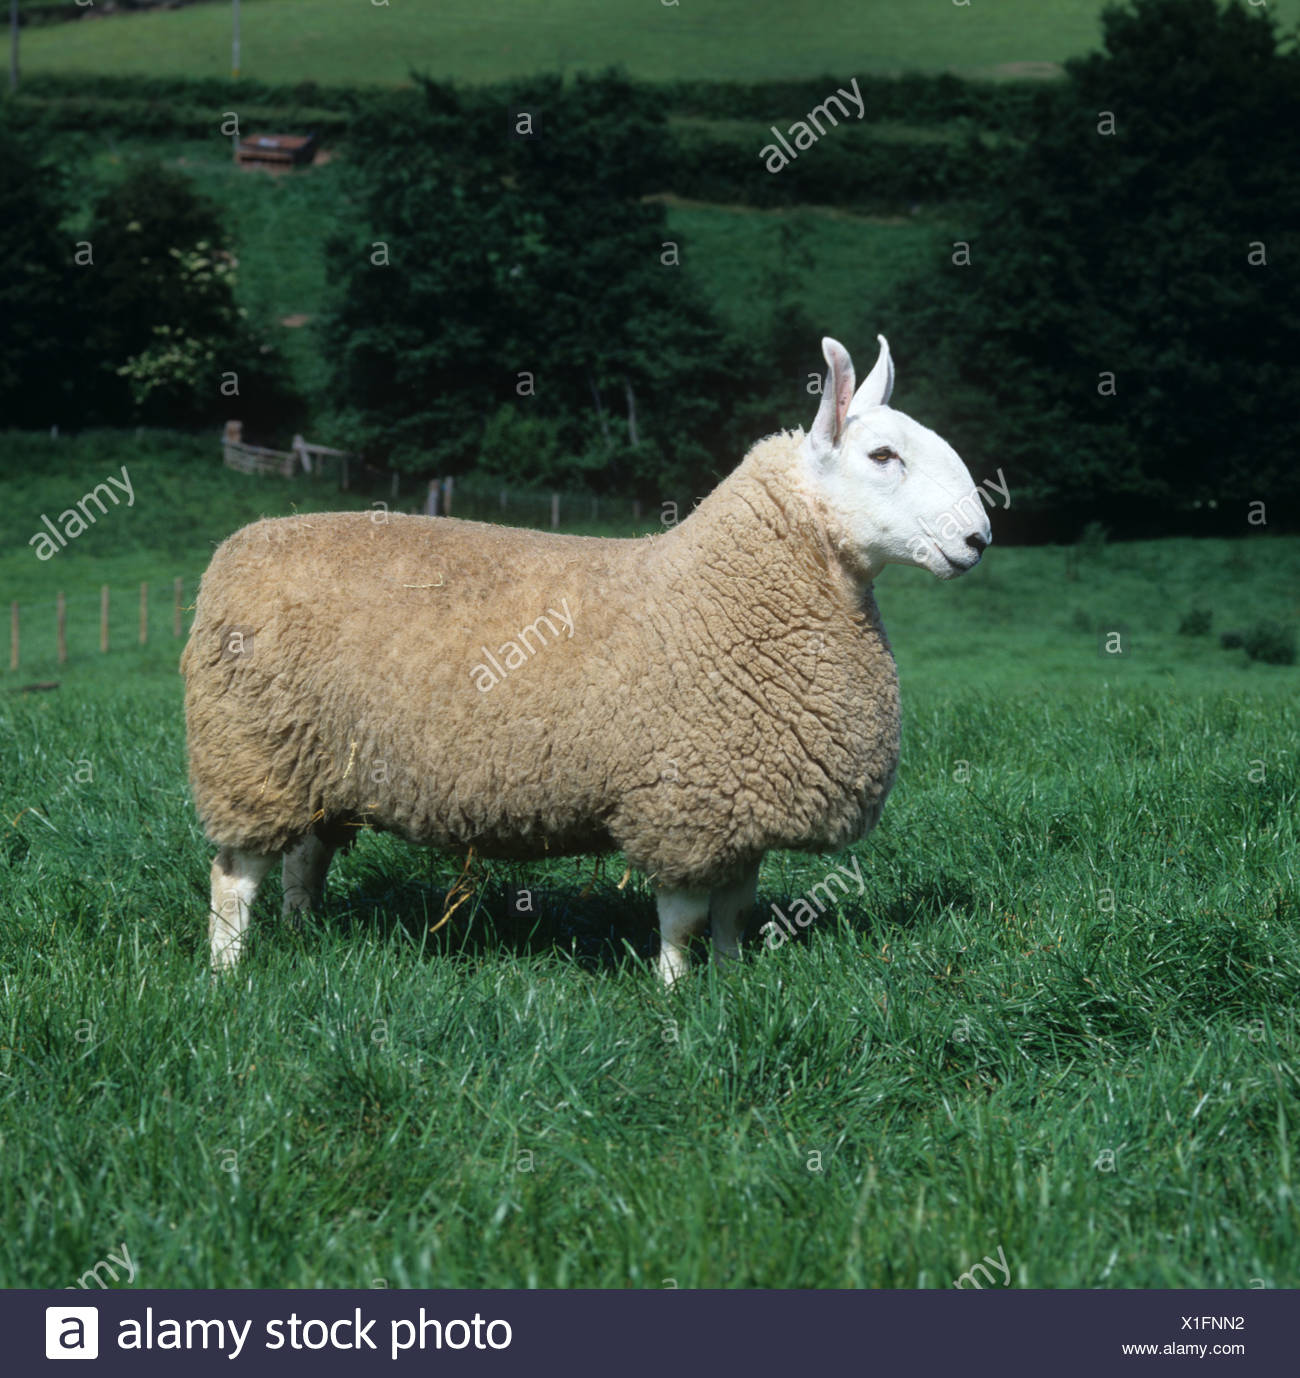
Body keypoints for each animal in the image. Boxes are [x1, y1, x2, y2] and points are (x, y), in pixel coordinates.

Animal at [182, 334, 991, 982]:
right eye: (882, 456)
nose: (979, 539)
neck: (729, 583)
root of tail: (237, 547)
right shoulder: (681, 803)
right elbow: (684, 920)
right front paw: (675, 996)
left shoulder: (741, 805)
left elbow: (734, 911)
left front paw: (735, 984)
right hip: (247, 754)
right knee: (235, 878)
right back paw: (227, 973)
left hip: (315, 761)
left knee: (303, 859)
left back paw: (302, 933)